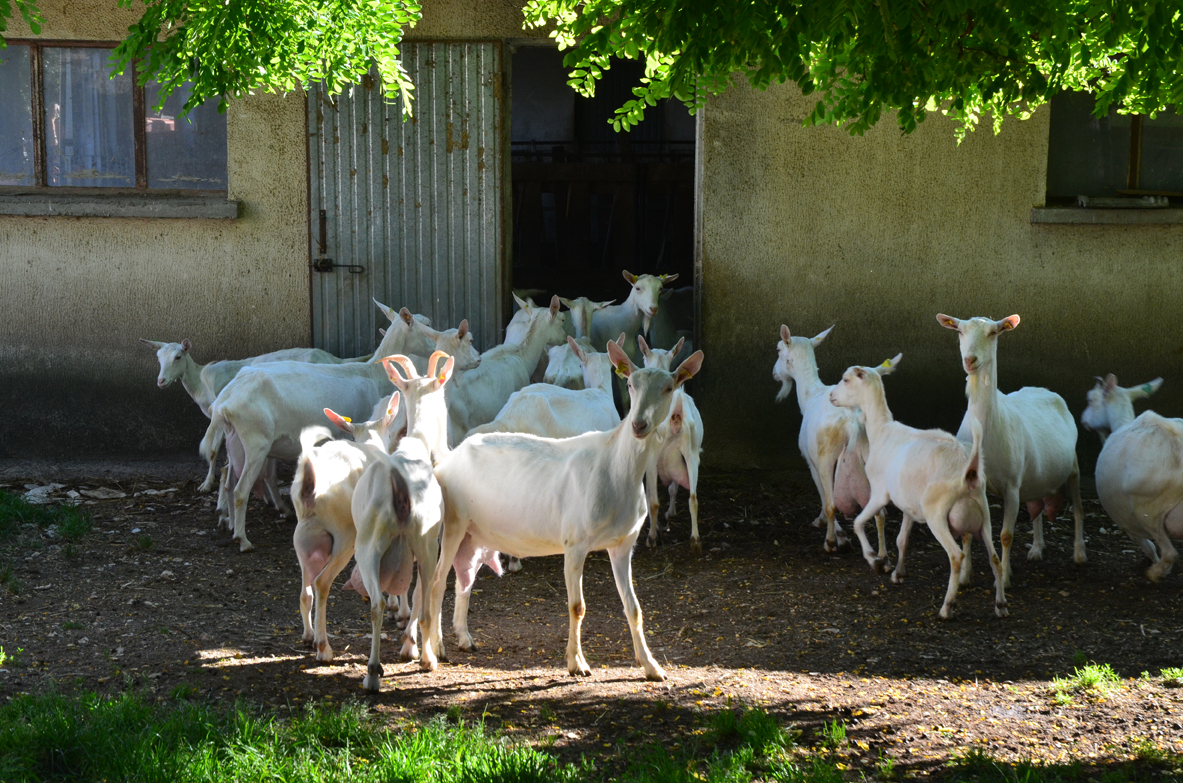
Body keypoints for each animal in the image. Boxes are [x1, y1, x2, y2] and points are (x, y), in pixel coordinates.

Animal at [431, 340, 704, 681]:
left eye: (669, 387)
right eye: (630, 384)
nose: (639, 424)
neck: (615, 469)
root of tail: (450, 457)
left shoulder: (623, 543)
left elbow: (634, 607)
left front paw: (651, 666)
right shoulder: (574, 542)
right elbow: (577, 606)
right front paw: (577, 663)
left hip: (477, 530)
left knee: (463, 577)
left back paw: (464, 637)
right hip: (453, 521)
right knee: (437, 579)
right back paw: (435, 648)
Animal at [772, 325, 887, 557]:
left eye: (778, 349)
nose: (774, 374)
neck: (809, 395)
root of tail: (851, 421)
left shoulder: (812, 461)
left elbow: (824, 495)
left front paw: (834, 531)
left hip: (826, 455)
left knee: (832, 503)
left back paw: (830, 543)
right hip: (871, 456)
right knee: (880, 510)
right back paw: (882, 555)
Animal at [829, 356, 1007, 619]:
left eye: (846, 379)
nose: (831, 396)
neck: (882, 432)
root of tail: (970, 471)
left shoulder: (880, 493)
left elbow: (859, 523)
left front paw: (876, 561)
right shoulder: (908, 506)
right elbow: (902, 539)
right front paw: (898, 573)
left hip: (937, 512)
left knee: (956, 555)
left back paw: (947, 607)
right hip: (983, 512)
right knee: (995, 558)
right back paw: (1001, 605)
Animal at [937, 314, 1085, 586]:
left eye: (993, 333)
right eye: (959, 331)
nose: (970, 360)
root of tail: (1043, 389)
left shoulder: (1012, 485)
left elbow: (1006, 535)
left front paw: (1004, 577)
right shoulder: (972, 484)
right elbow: (967, 533)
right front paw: (965, 576)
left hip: (1073, 467)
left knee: (1079, 509)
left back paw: (1080, 554)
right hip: (1036, 476)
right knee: (1037, 508)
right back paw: (1036, 548)